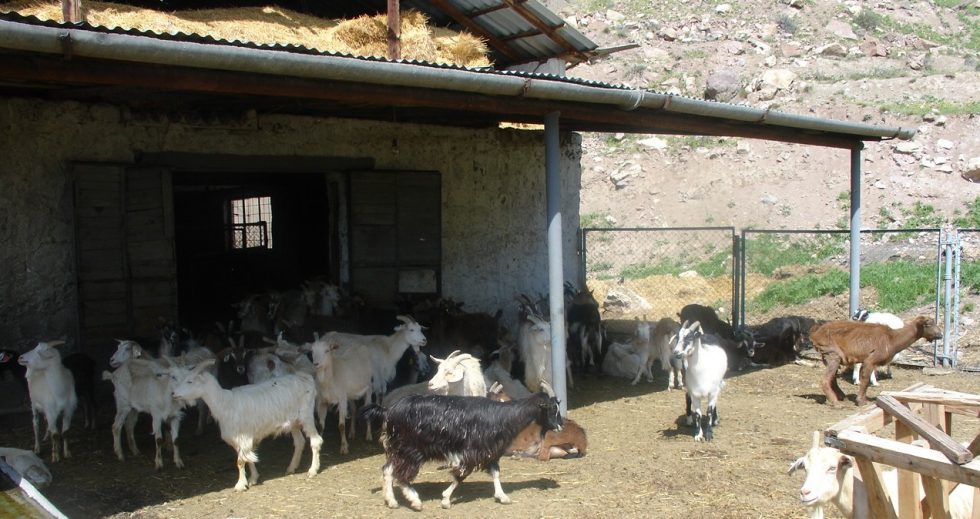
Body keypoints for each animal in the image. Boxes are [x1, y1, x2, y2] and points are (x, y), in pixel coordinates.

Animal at [168, 359, 322, 491]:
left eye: (190, 381)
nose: (173, 393)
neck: (225, 403)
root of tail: (306, 378)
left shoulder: (244, 435)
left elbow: (240, 461)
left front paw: (240, 485)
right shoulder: (242, 438)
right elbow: (248, 458)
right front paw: (253, 479)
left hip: (306, 416)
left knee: (315, 441)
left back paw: (312, 470)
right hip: (293, 422)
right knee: (299, 442)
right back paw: (291, 468)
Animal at [361, 391, 563, 510]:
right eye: (551, 409)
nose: (561, 426)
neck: (500, 417)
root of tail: (388, 411)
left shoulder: (489, 451)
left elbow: (496, 473)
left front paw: (503, 496)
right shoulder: (472, 451)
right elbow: (461, 475)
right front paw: (445, 500)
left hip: (398, 448)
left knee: (388, 470)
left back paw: (392, 501)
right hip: (411, 449)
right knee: (402, 476)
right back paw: (415, 502)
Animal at [810, 316, 943, 405]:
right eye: (928, 324)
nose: (940, 335)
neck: (892, 339)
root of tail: (815, 334)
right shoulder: (870, 360)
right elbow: (865, 380)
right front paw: (861, 401)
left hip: (829, 356)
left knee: (832, 378)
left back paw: (840, 396)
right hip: (832, 353)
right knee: (825, 380)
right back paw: (835, 402)